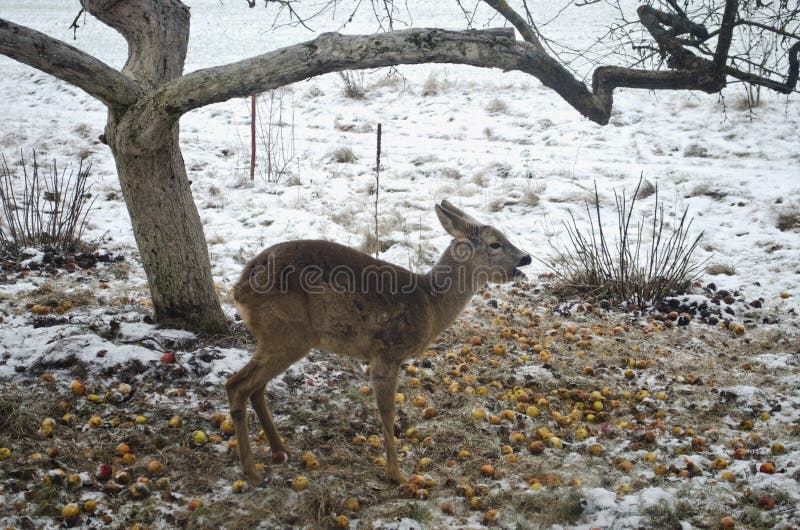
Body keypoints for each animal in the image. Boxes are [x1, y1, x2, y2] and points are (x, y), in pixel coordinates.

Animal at [227, 200, 531, 485]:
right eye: (495, 243)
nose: (526, 258)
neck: (431, 304)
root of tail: (239, 288)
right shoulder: (388, 351)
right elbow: (387, 413)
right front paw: (397, 474)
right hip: (287, 334)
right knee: (237, 385)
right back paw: (252, 471)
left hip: (281, 339)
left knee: (255, 388)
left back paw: (281, 450)